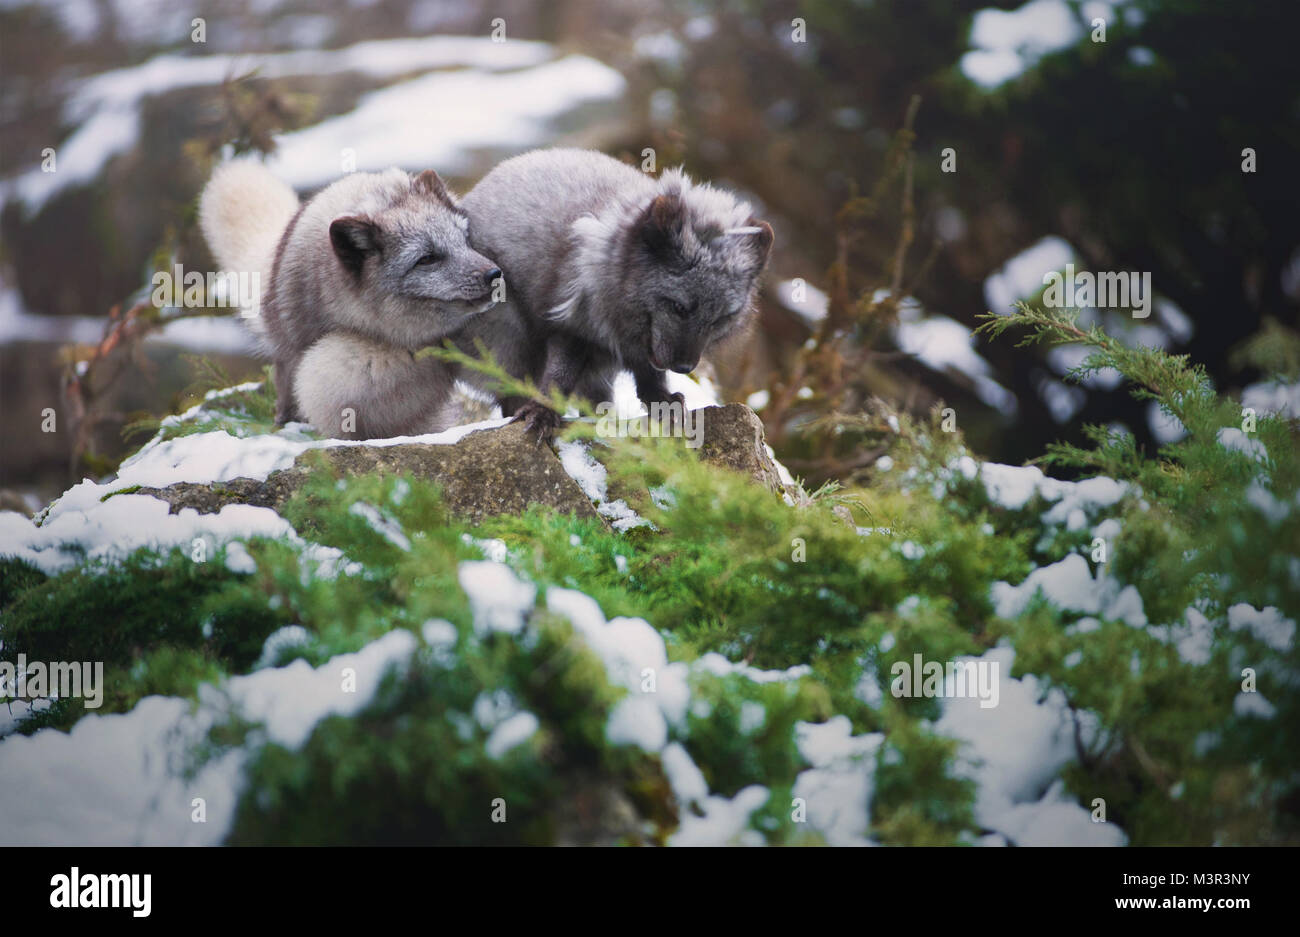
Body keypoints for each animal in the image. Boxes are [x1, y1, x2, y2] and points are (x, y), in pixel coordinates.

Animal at [453, 148, 773, 435]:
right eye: (679, 307)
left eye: (719, 319)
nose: (684, 367)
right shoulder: (572, 327)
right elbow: (559, 375)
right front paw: (544, 411)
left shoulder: (642, 349)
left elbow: (650, 375)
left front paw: (661, 401)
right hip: (509, 336)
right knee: (511, 393)